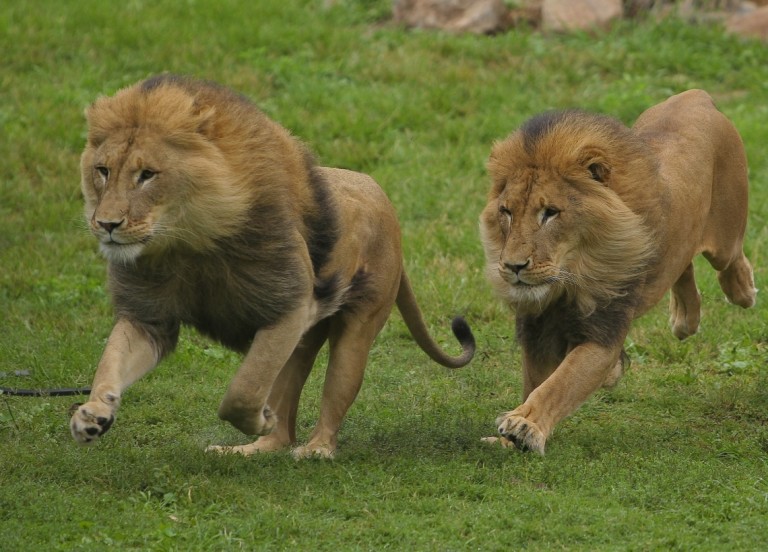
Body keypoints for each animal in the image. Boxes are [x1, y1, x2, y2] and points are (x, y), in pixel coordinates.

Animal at [69, 75, 475, 459]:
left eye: (147, 175)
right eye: (103, 171)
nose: (106, 224)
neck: (188, 243)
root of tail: (385, 203)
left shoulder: (290, 305)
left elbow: (243, 389)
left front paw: (260, 418)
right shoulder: (149, 317)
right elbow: (111, 360)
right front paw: (93, 413)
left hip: (357, 328)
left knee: (335, 388)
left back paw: (316, 449)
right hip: (302, 341)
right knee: (282, 430)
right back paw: (251, 449)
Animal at [480, 90, 756, 455]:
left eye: (550, 212)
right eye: (506, 212)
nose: (513, 266)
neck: (571, 276)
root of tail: (695, 97)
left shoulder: (603, 334)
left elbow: (559, 384)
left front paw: (524, 426)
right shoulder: (538, 328)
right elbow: (537, 382)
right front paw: (507, 440)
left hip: (726, 237)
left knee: (731, 260)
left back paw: (744, 290)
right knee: (683, 263)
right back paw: (685, 319)